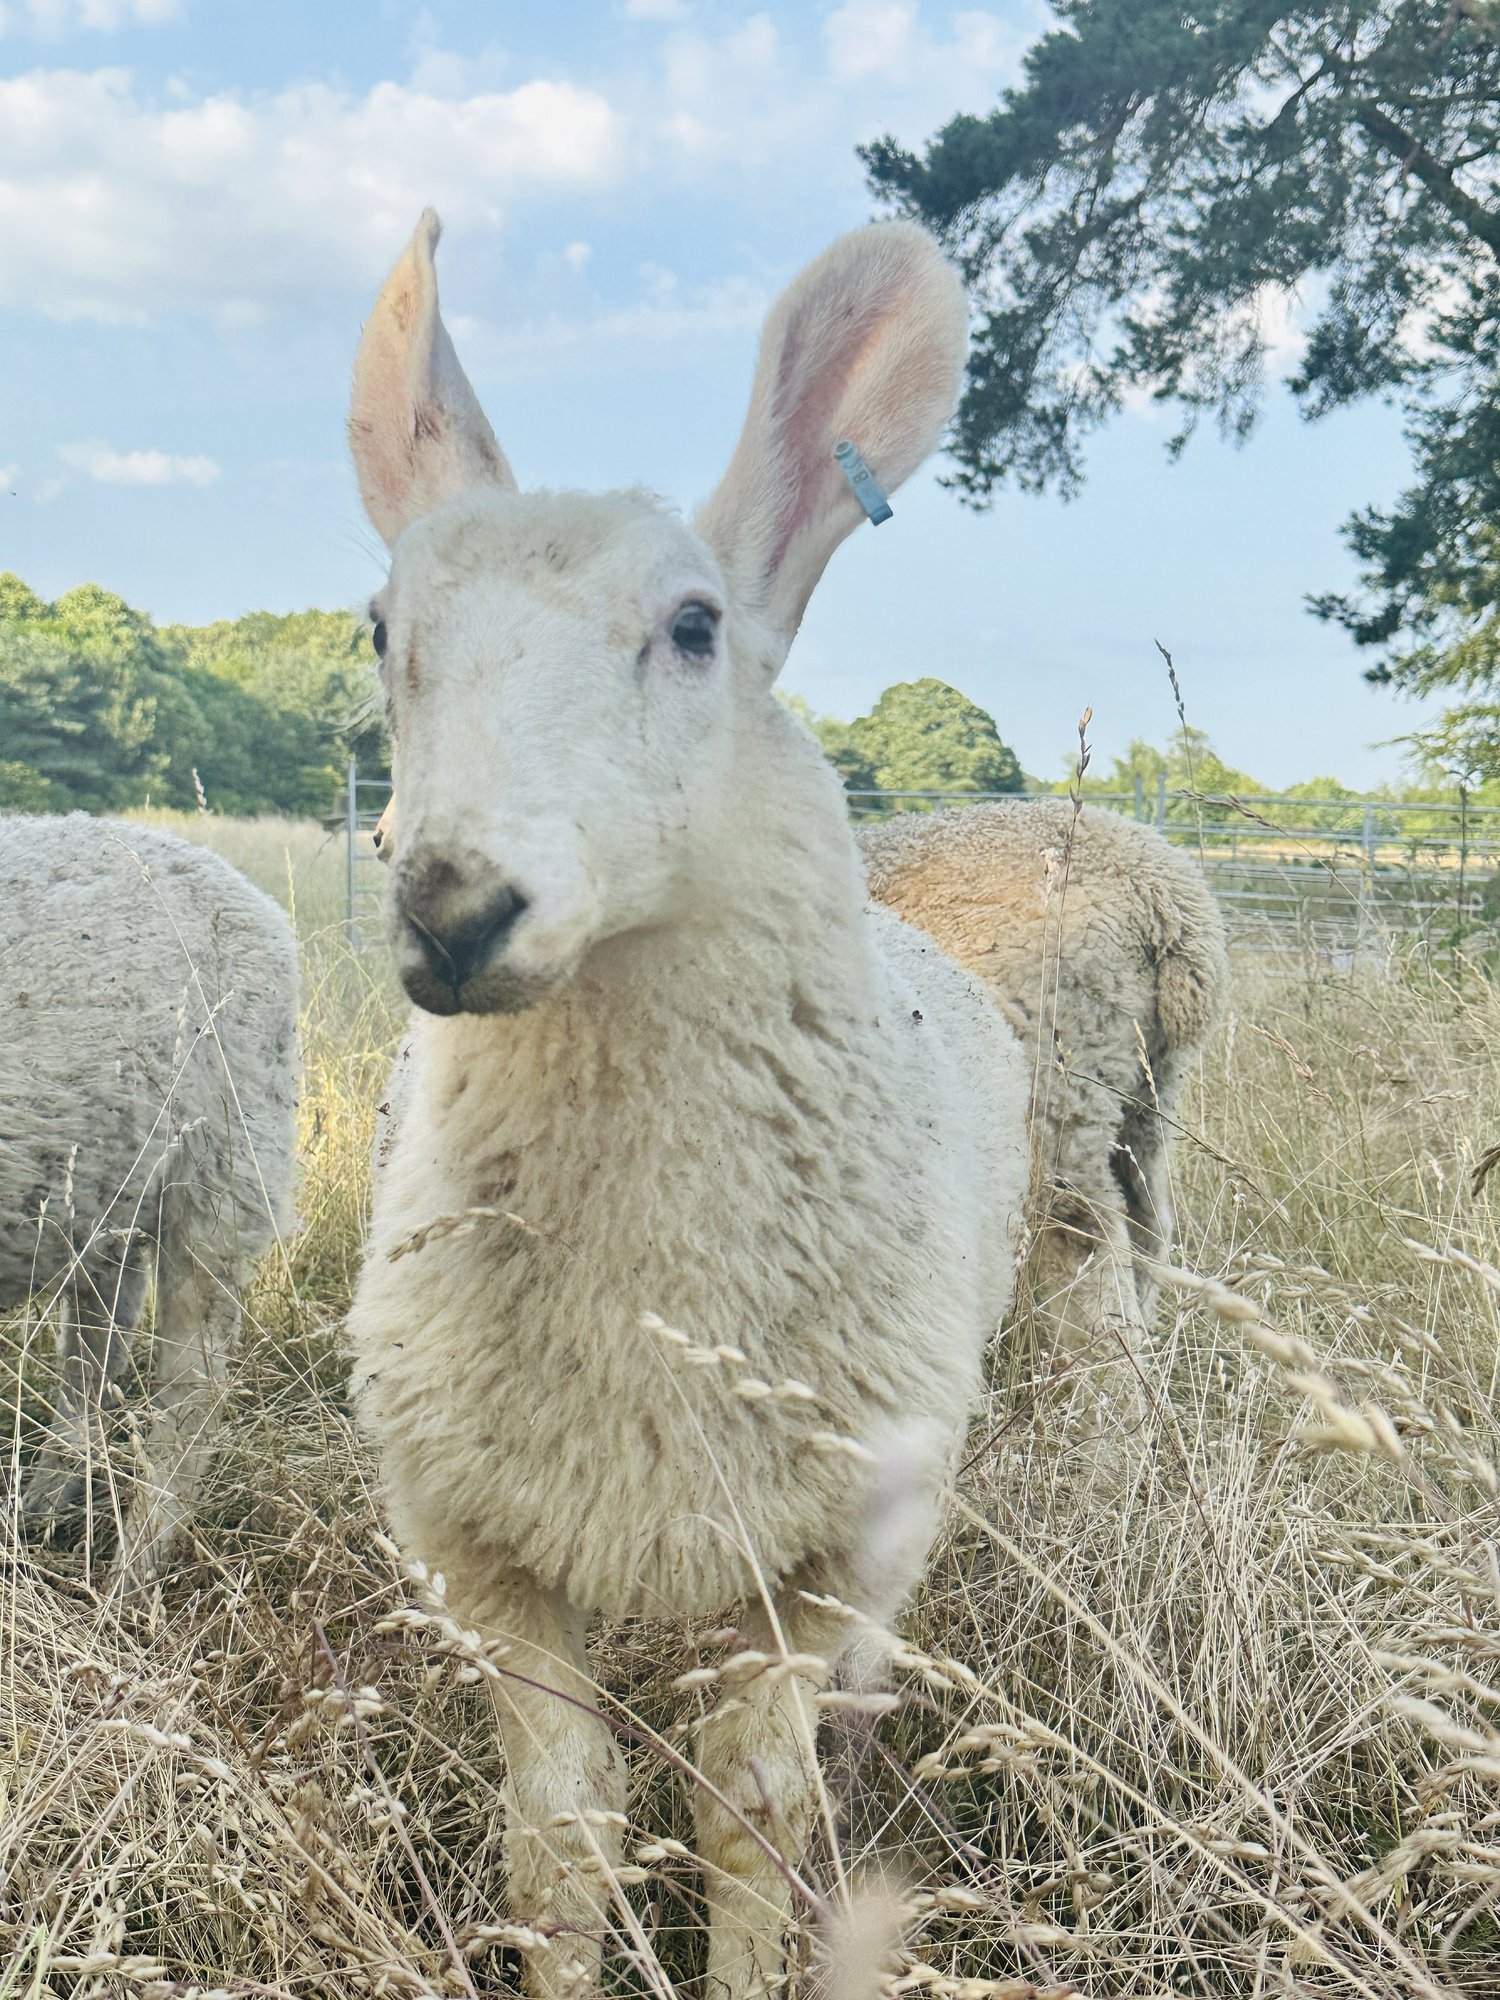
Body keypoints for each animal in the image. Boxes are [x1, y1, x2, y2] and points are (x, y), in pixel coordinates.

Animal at [2, 813, 299, 1586]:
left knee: (191, 1388)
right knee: (94, 1352)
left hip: (223, 1165)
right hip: (101, 1190)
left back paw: (131, 1575)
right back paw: (48, 1501)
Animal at [344, 211, 1032, 2000]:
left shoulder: (808, 1554)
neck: (649, 1309)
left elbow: (748, 1825)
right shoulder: (481, 1546)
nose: (452, 908)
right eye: (380, 629)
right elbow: (563, 1835)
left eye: (698, 626)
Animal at [859, 800, 1227, 1429]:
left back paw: (1109, 1424)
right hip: (1147, 1096)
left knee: (1085, 1243)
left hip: (1057, 1086)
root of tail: (1165, 900)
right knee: (1148, 1226)